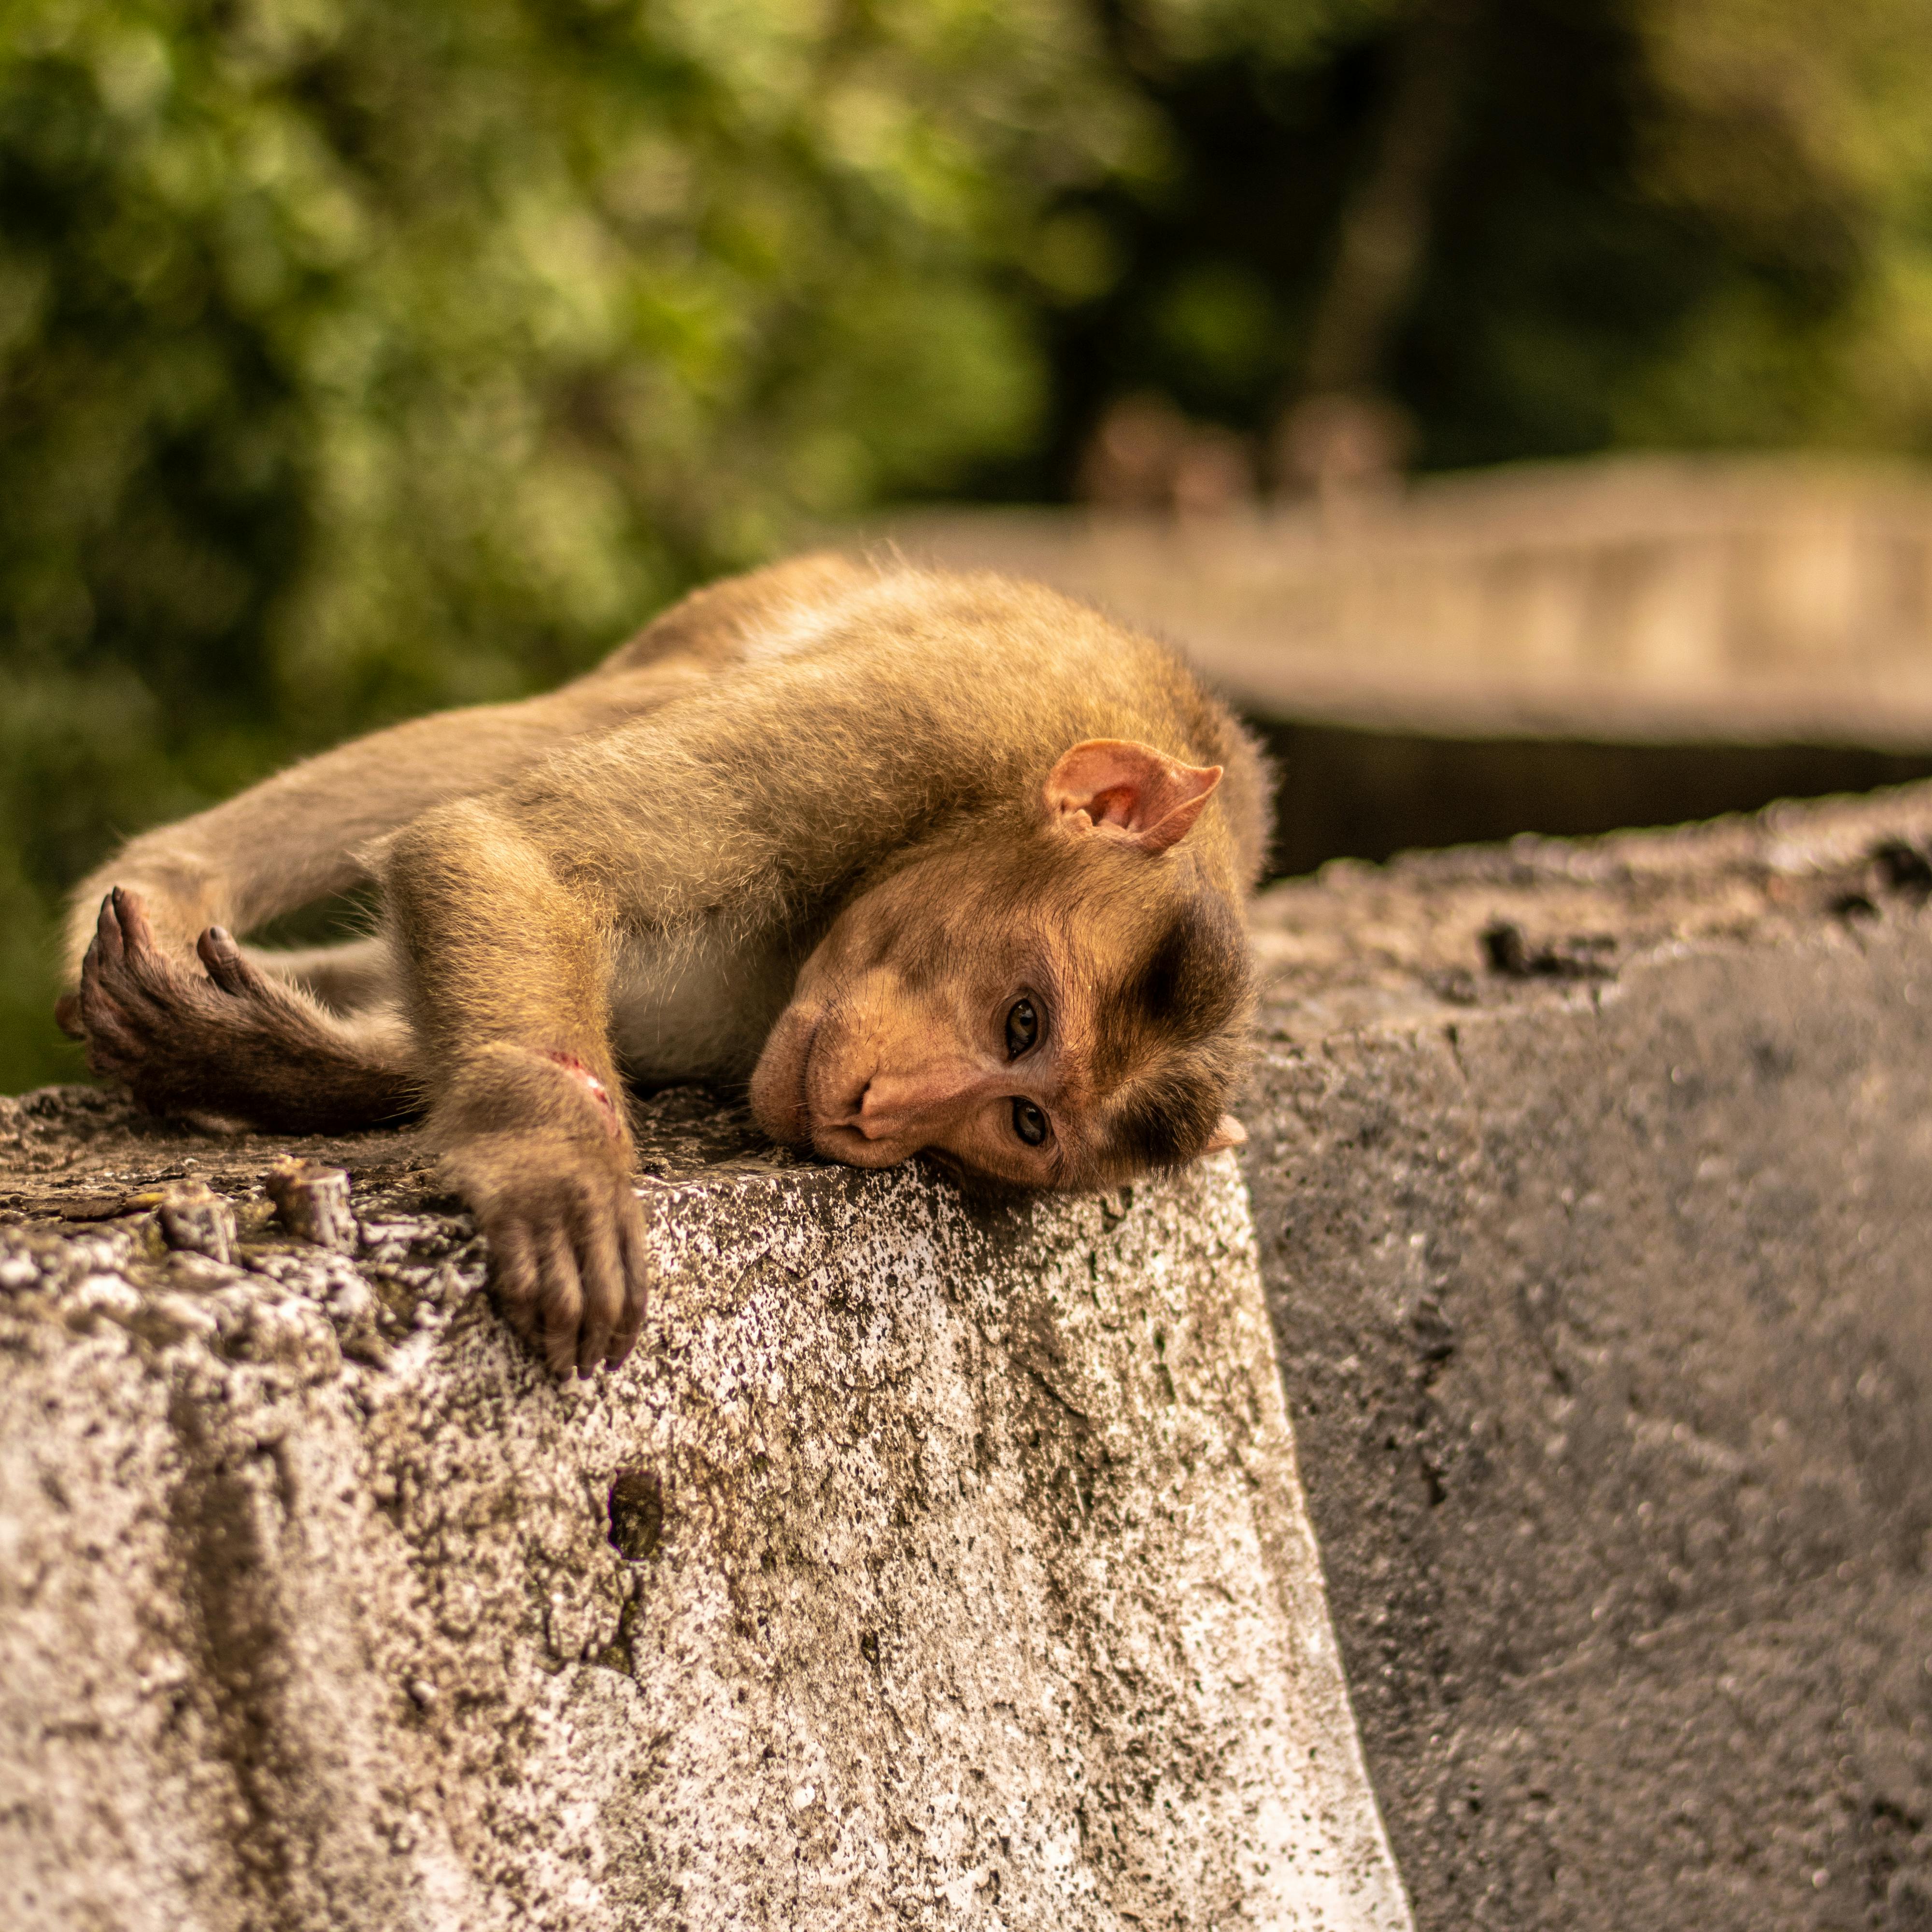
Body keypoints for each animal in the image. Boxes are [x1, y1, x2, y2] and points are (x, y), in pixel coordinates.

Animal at [58, 554, 1270, 1379]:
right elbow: (510, 847)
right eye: (1024, 1021)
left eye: (1021, 1125)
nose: (879, 1117)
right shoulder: (936, 717)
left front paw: (259, 1057)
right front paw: (555, 1158)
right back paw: (167, 875)